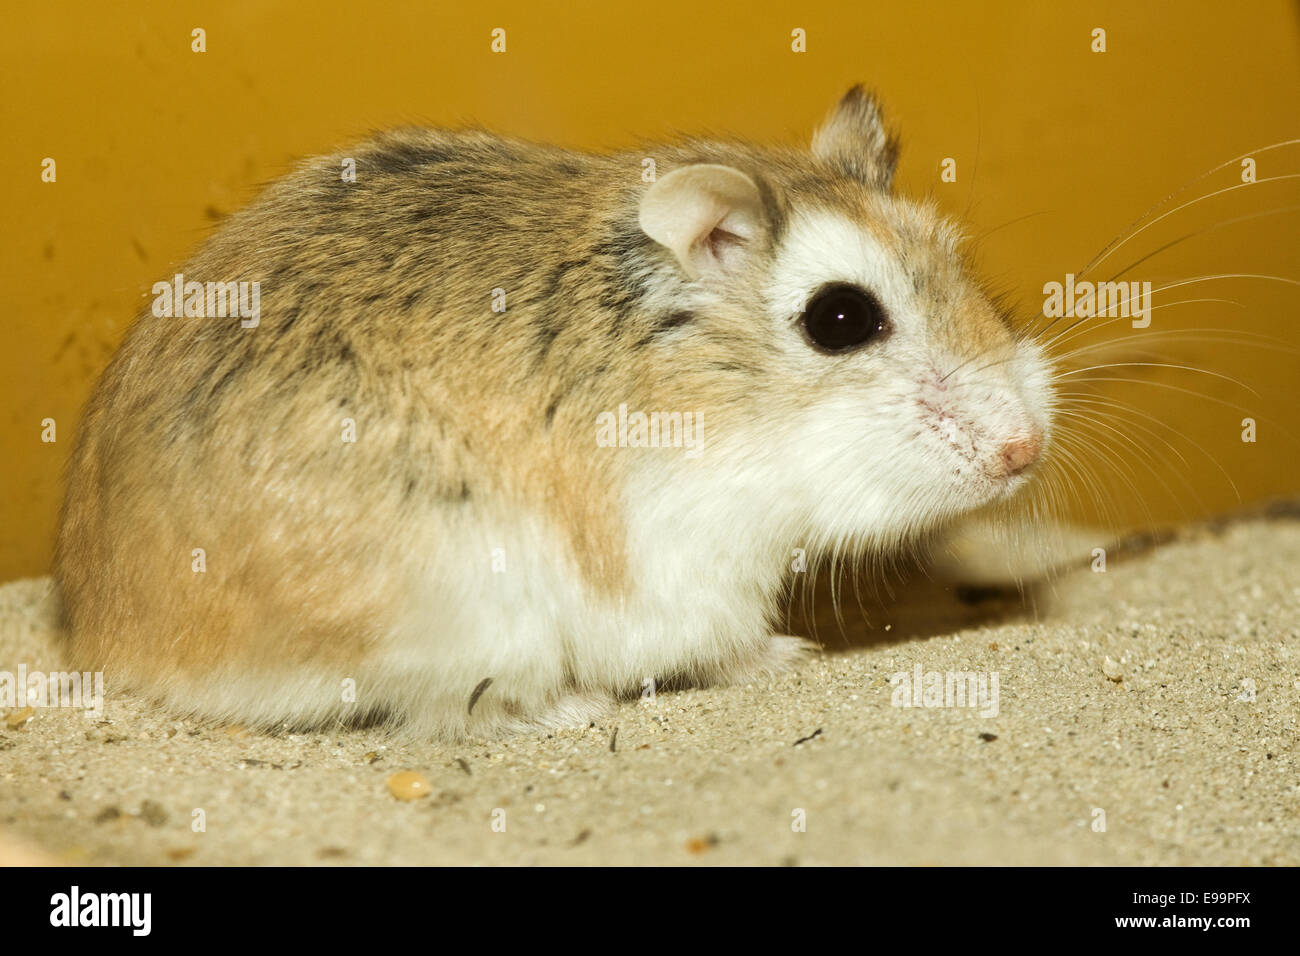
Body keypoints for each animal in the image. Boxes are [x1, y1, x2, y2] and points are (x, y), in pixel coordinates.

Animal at [55, 86, 1054, 739]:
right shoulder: (689, 565)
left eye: (956, 256)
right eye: (841, 319)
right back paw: (574, 708)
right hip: (463, 601)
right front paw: (791, 655)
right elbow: (723, 644)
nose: (1024, 450)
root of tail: (104, 640)